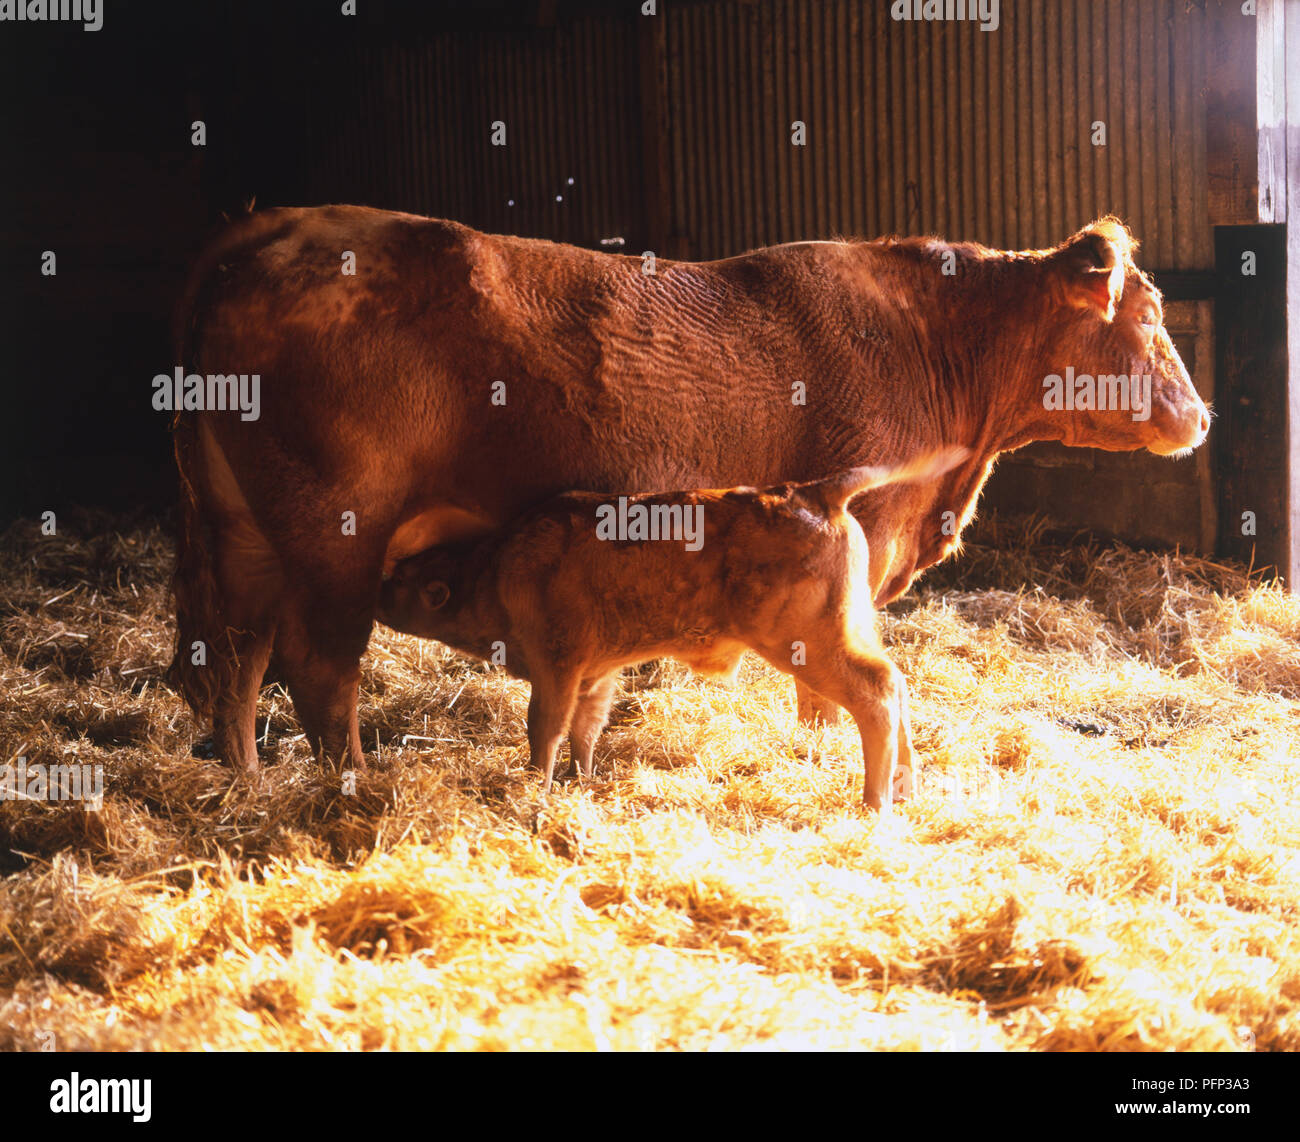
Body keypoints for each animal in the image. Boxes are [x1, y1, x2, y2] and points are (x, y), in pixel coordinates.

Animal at [378, 448, 967, 809]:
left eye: (401, 579)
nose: (376, 592)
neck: (495, 570)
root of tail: (808, 493)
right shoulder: (595, 674)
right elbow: (586, 729)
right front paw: (580, 779)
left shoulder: (556, 668)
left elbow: (544, 728)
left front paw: (535, 786)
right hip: (850, 629)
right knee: (895, 680)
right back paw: (905, 788)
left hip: (808, 644)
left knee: (875, 693)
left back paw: (874, 802)